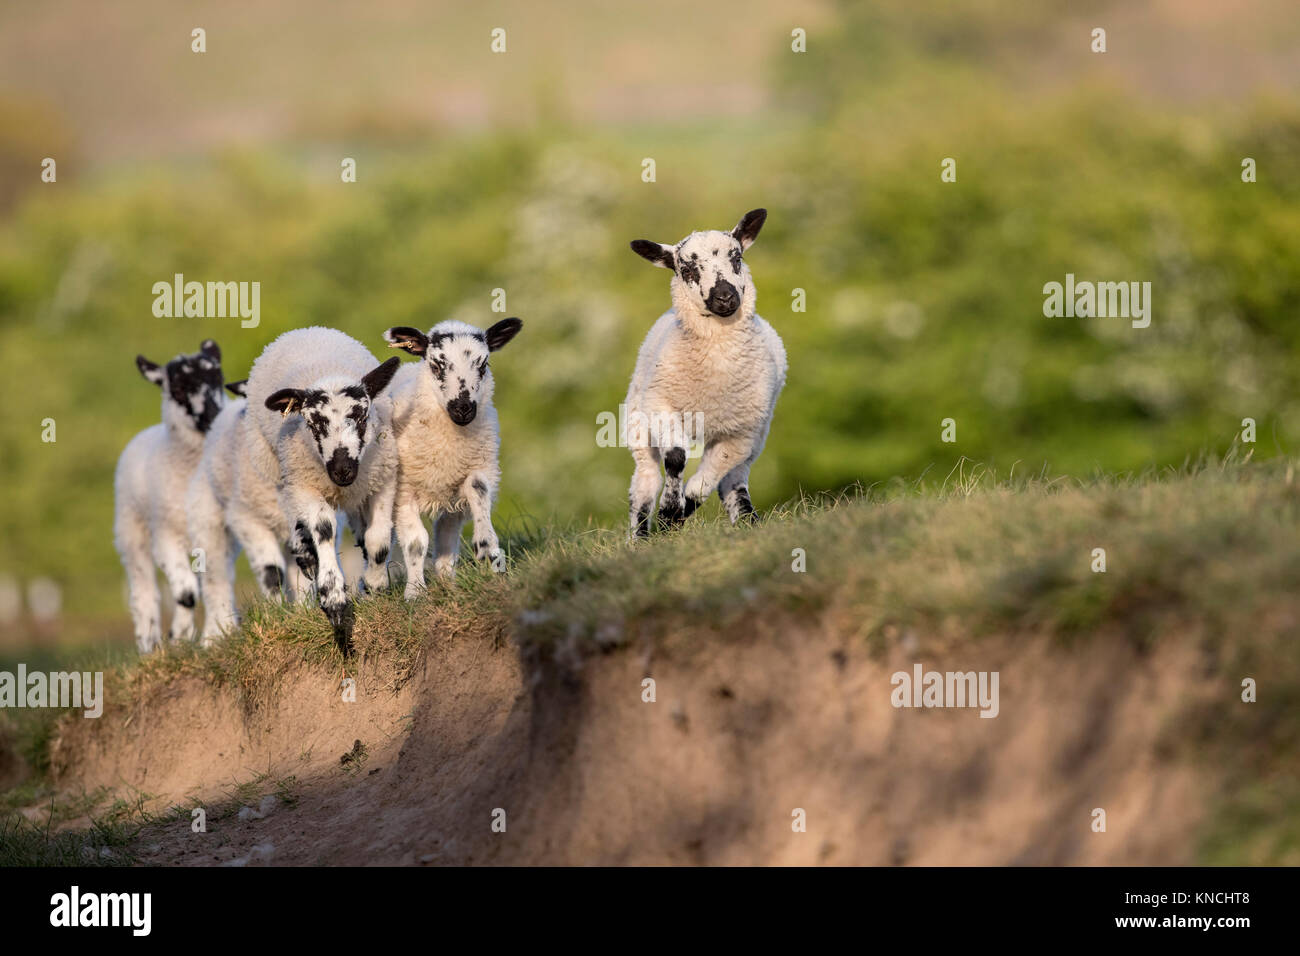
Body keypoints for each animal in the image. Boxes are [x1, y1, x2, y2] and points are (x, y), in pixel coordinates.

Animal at [114, 339, 228, 652]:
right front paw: (179, 636)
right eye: (176, 390)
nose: (212, 416)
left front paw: (193, 635)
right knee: (144, 591)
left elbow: (209, 585)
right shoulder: (164, 533)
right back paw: (149, 643)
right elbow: (186, 593)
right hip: (131, 531)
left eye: (218, 378)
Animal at [246, 327, 401, 655]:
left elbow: (379, 541)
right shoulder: (307, 487)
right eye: (313, 422)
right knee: (298, 525)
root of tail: (304, 330)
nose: (342, 469)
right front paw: (334, 602)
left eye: (361, 415)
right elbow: (325, 530)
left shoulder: (384, 480)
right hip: (282, 474)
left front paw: (375, 587)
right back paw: (306, 552)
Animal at [382, 317, 523, 597]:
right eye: (436, 365)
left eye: (483, 364)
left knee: (446, 536)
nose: (463, 408)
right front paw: (415, 593)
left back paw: (449, 582)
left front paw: (486, 545)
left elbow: (478, 490)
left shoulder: (479, 467)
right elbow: (416, 542)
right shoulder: (402, 491)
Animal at [625, 208, 787, 536]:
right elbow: (675, 457)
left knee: (732, 480)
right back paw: (640, 535)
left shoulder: (741, 433)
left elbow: (701, 488)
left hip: (757, 436)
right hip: (638, 418)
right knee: (646, 478)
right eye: (687, 270)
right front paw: (669, 511)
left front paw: (674, 515)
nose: (724, 297)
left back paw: (746, 520)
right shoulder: (661, 406)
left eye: (736, 258)